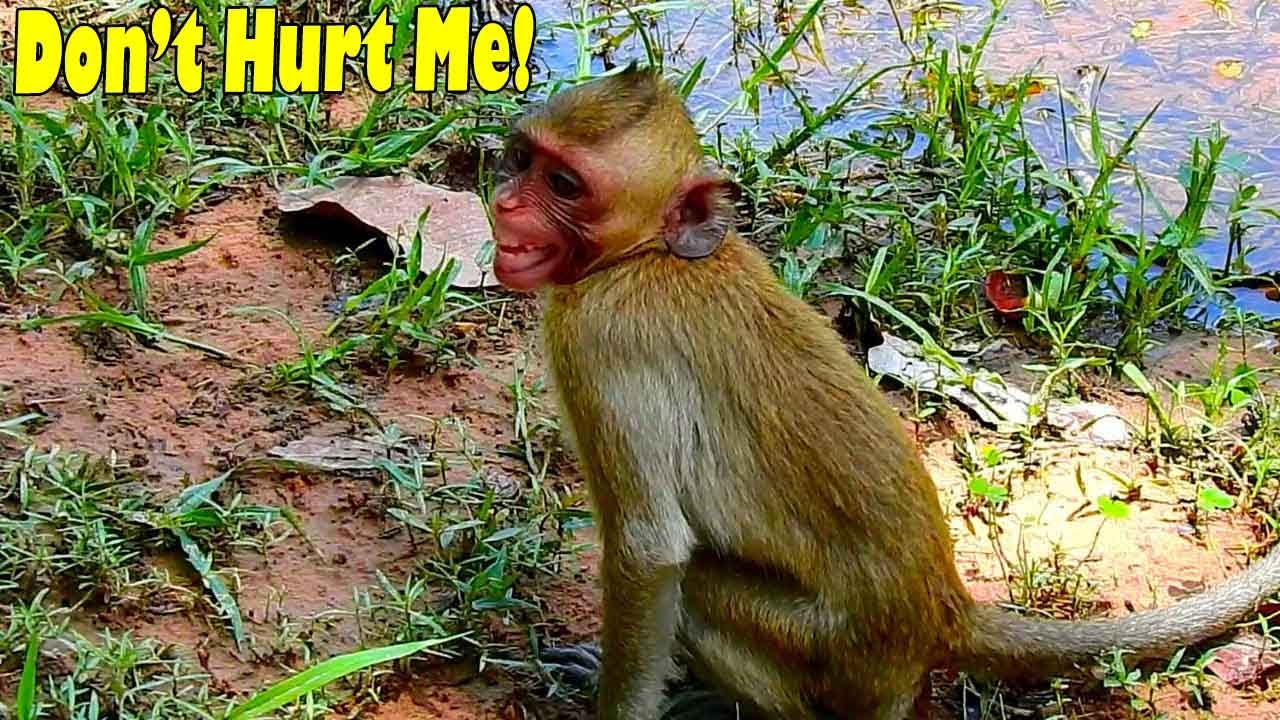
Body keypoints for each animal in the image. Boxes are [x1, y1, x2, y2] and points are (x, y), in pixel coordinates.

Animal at [489, 64, 1280, 720]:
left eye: (564, 186)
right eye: (524, 159)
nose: (503, 203)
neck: (646, 256)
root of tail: (944, 609)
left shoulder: (595, 337)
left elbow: (651, 551)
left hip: (840, 654)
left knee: (704, 589)